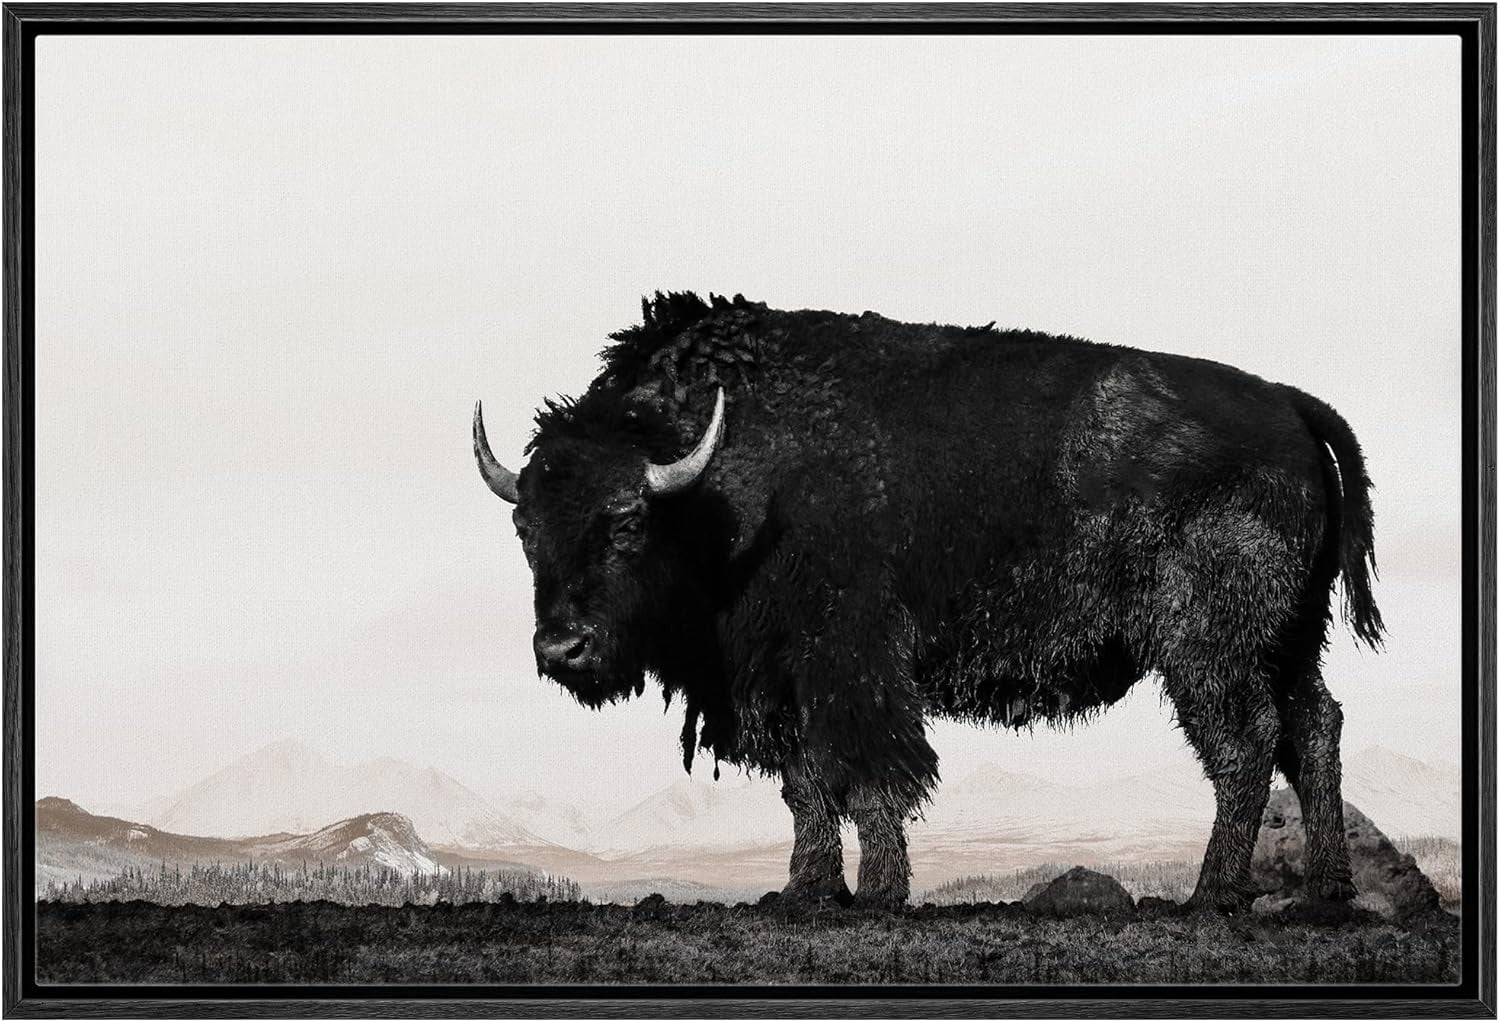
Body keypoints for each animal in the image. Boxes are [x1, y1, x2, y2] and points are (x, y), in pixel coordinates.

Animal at [474, 292, 1382, 911]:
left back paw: (1211, 897)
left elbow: (868, 776)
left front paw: (878, 893)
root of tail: (1289, 402)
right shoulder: (776, 679)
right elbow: (805, 785)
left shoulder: (850, 662)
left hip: (1208, 647)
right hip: (1290, 640)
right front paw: (805, 893)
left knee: (1246, 742)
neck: (719, 472)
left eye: (628, 520)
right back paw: (1324, 893)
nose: (561, 649)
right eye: (523, 526)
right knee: (1315, 728)